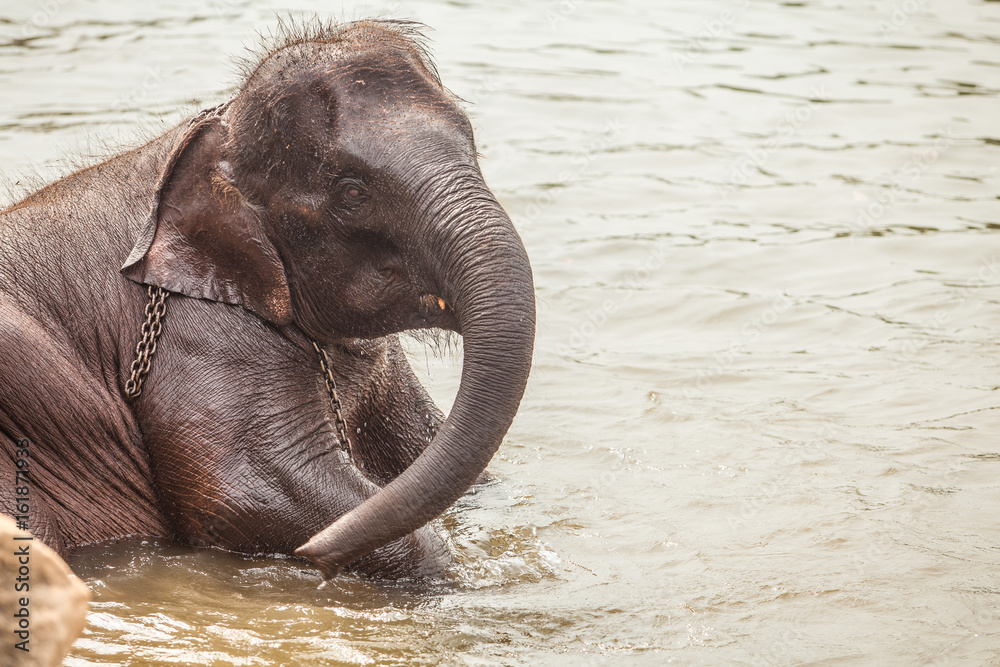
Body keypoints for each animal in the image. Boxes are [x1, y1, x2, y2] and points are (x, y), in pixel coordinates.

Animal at [0, 19, 535, 579]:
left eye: (472, 145)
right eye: (352, 192)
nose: (314, 561)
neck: (221, 132)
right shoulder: (198, 334)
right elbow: (244, 491)